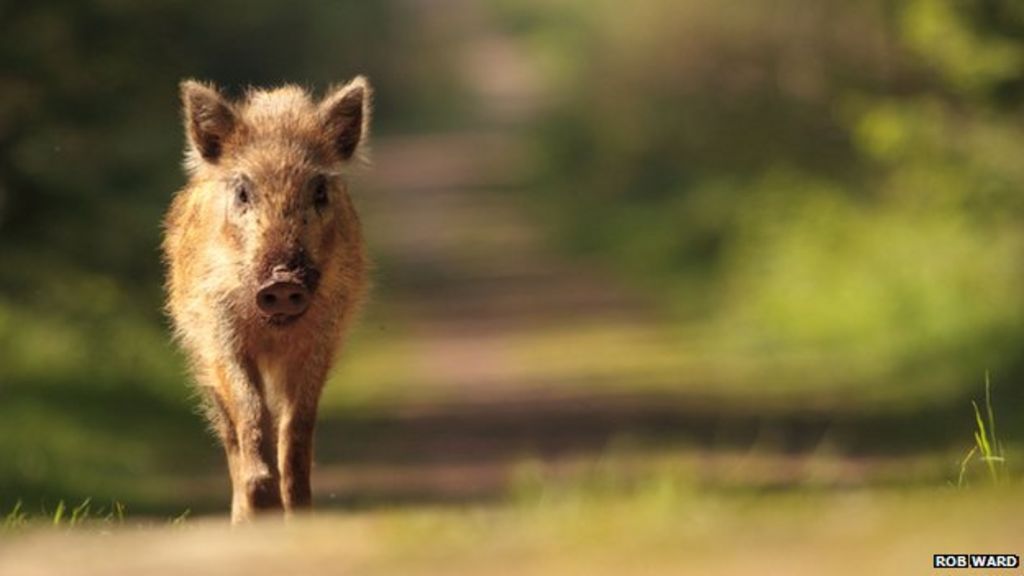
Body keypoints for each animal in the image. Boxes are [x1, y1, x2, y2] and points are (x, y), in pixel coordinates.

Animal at [162, 77, 372, 523]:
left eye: (320, 190)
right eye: (243, 191)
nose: (282, 281)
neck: (274, 332)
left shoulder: (324, 335)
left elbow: (297, 426)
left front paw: (297, 513)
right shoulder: (219, 330)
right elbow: (251, 410)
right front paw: (263, 501)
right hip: (201, 357)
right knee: (231, 432)